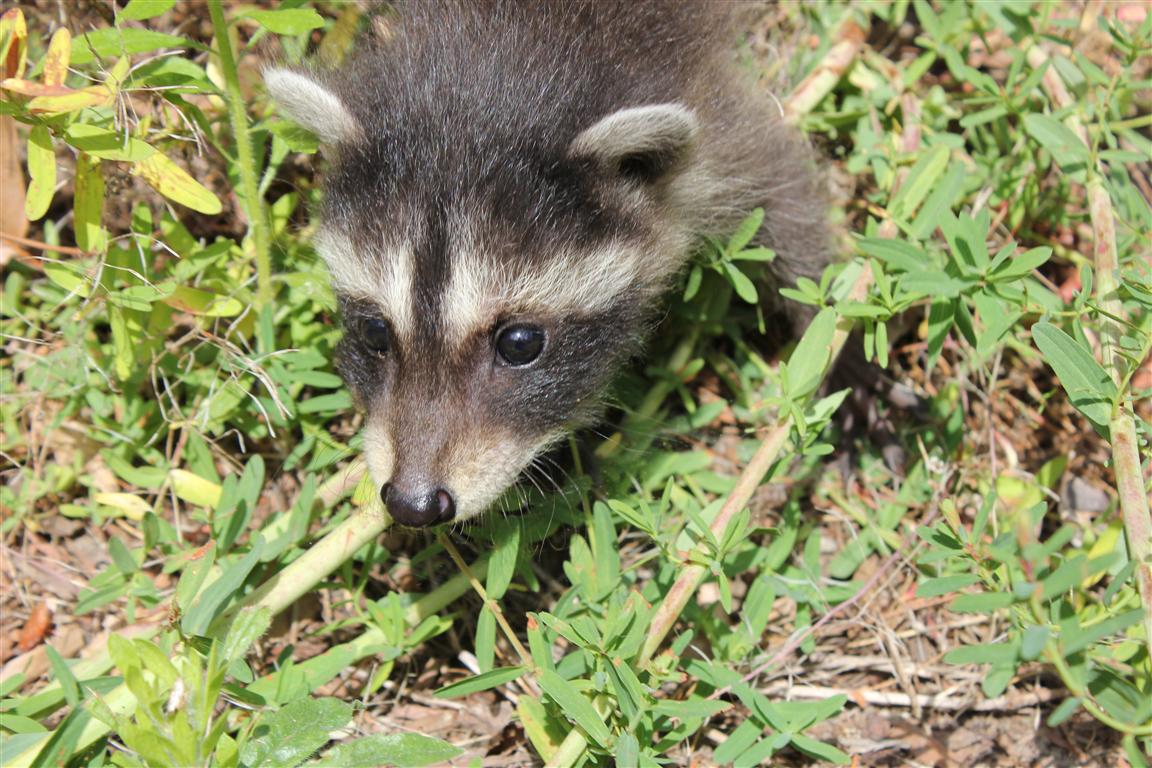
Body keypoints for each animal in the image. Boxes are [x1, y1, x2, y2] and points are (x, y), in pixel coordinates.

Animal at [265, 1, 831, 528]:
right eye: (375, 332)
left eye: (519, 343)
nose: (412, 504)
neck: (490, 65)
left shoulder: (706, 111)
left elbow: (784, 191)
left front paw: (832, 343)